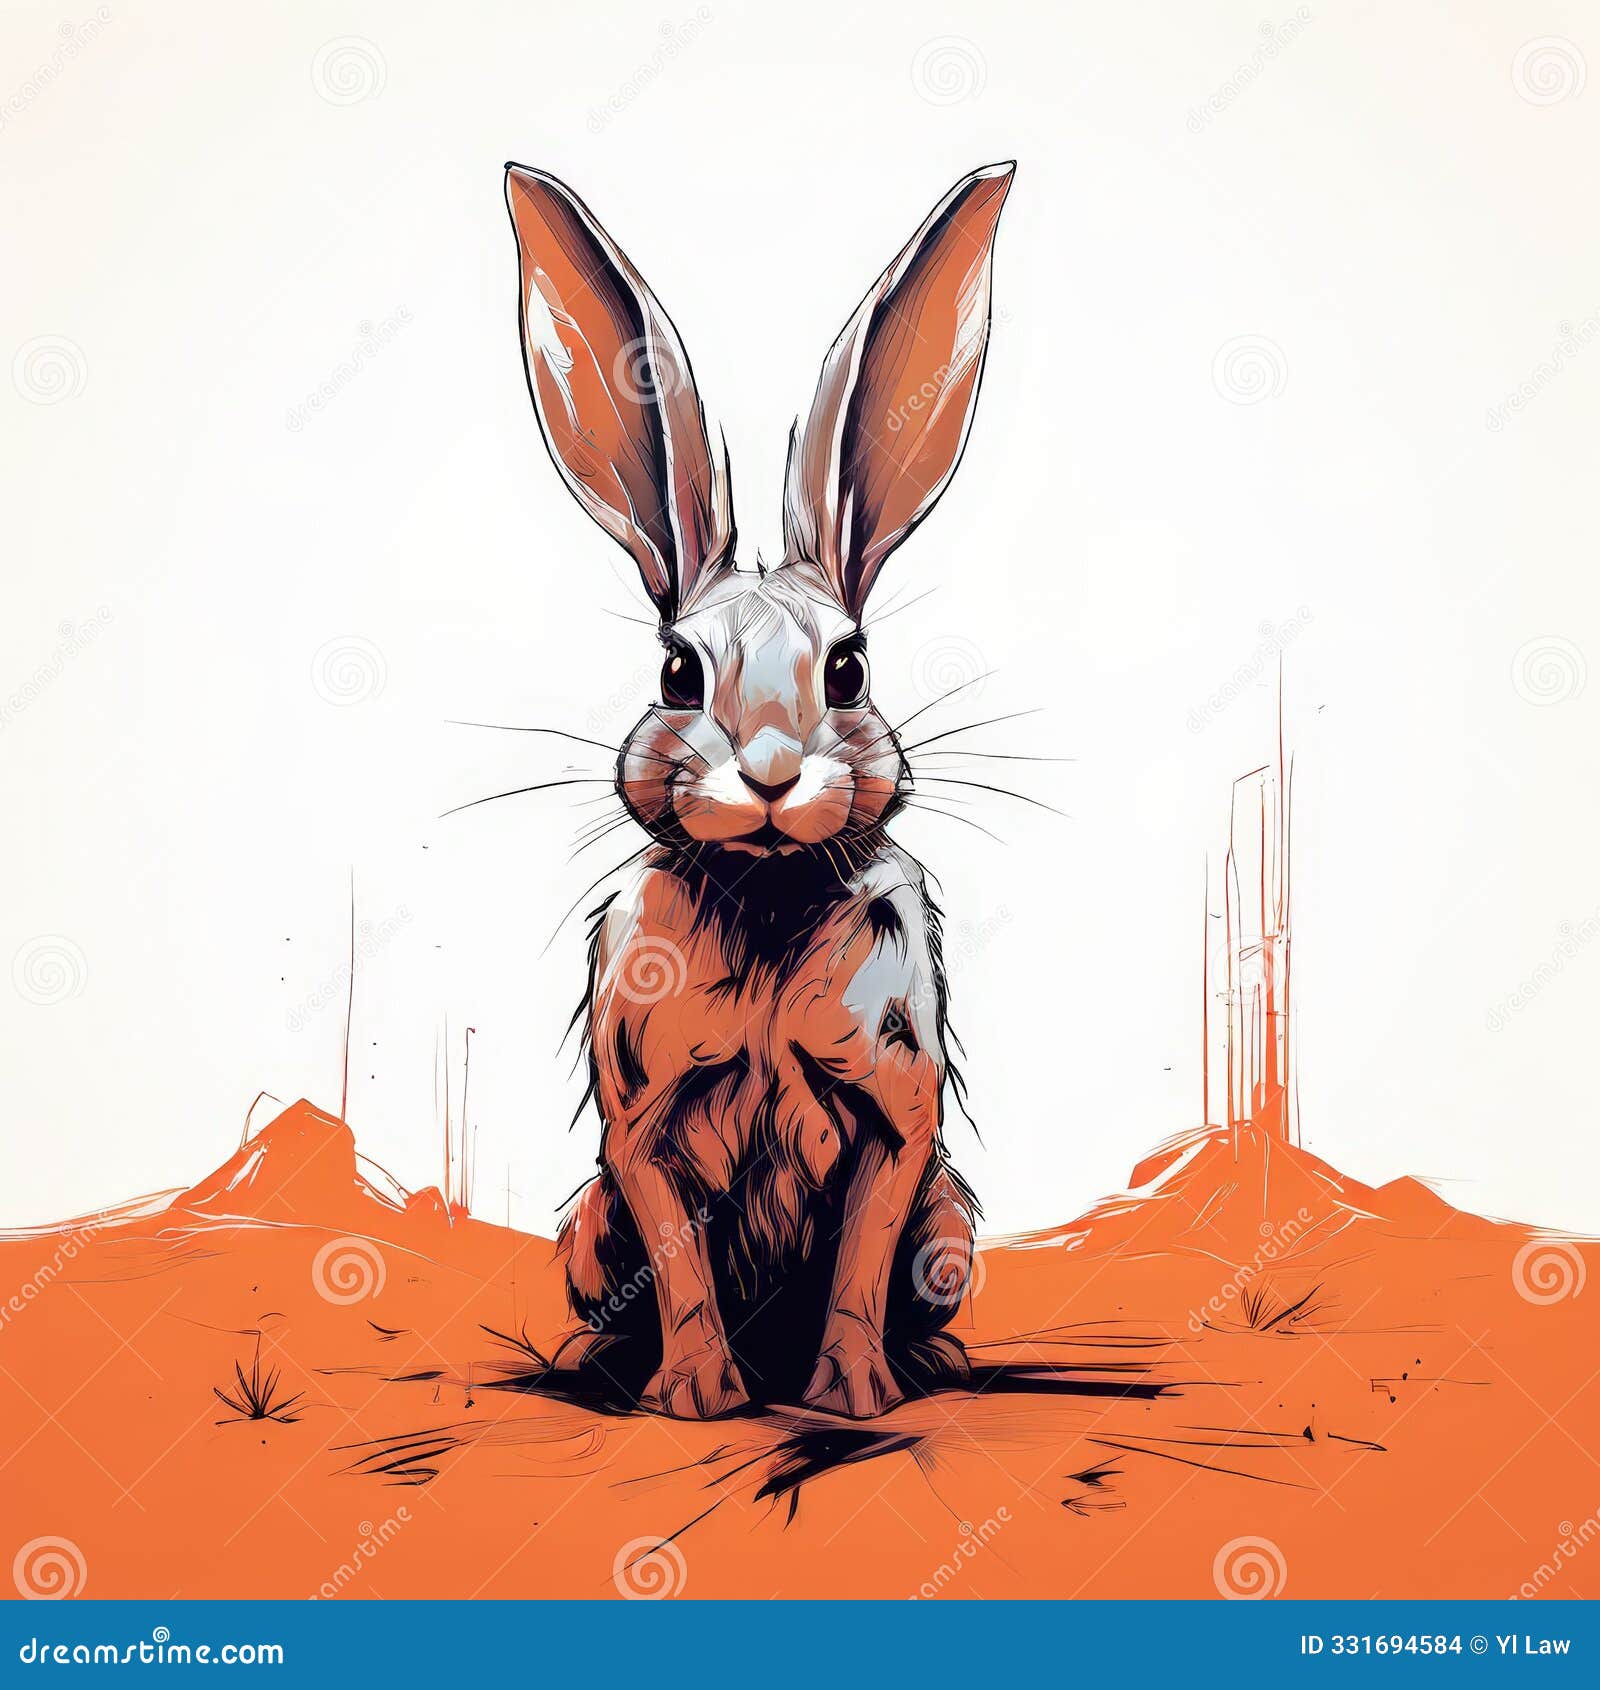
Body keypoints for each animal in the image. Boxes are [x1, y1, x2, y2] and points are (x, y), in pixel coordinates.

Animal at [504, 160, 1013, 1419]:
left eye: (850, 667)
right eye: (677, 671)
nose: (773, 776)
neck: (770, 893)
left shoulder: (896, 1119)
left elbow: (860, 1256)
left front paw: (851, 1395)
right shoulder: (640, 1129)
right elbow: (680, 1260)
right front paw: (698, 1397)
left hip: (951, 1227)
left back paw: (924, 1366)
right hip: (585, 1233)